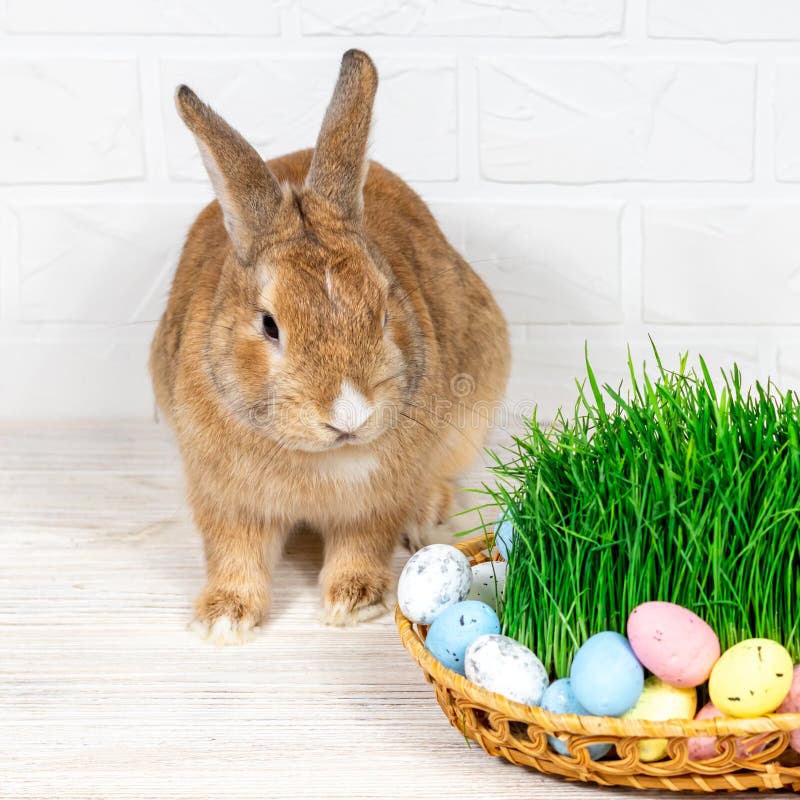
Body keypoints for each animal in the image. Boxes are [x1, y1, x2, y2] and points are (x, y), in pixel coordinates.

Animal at [150, 50, 510, 645]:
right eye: (269, 325)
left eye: (386, 310)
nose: (349, 414)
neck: (316, 457)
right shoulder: (226, 501)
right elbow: (233, 554)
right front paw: (224, 620)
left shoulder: (374, 502)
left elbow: (362, 545)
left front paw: (354, 605)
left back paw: (428, 515)